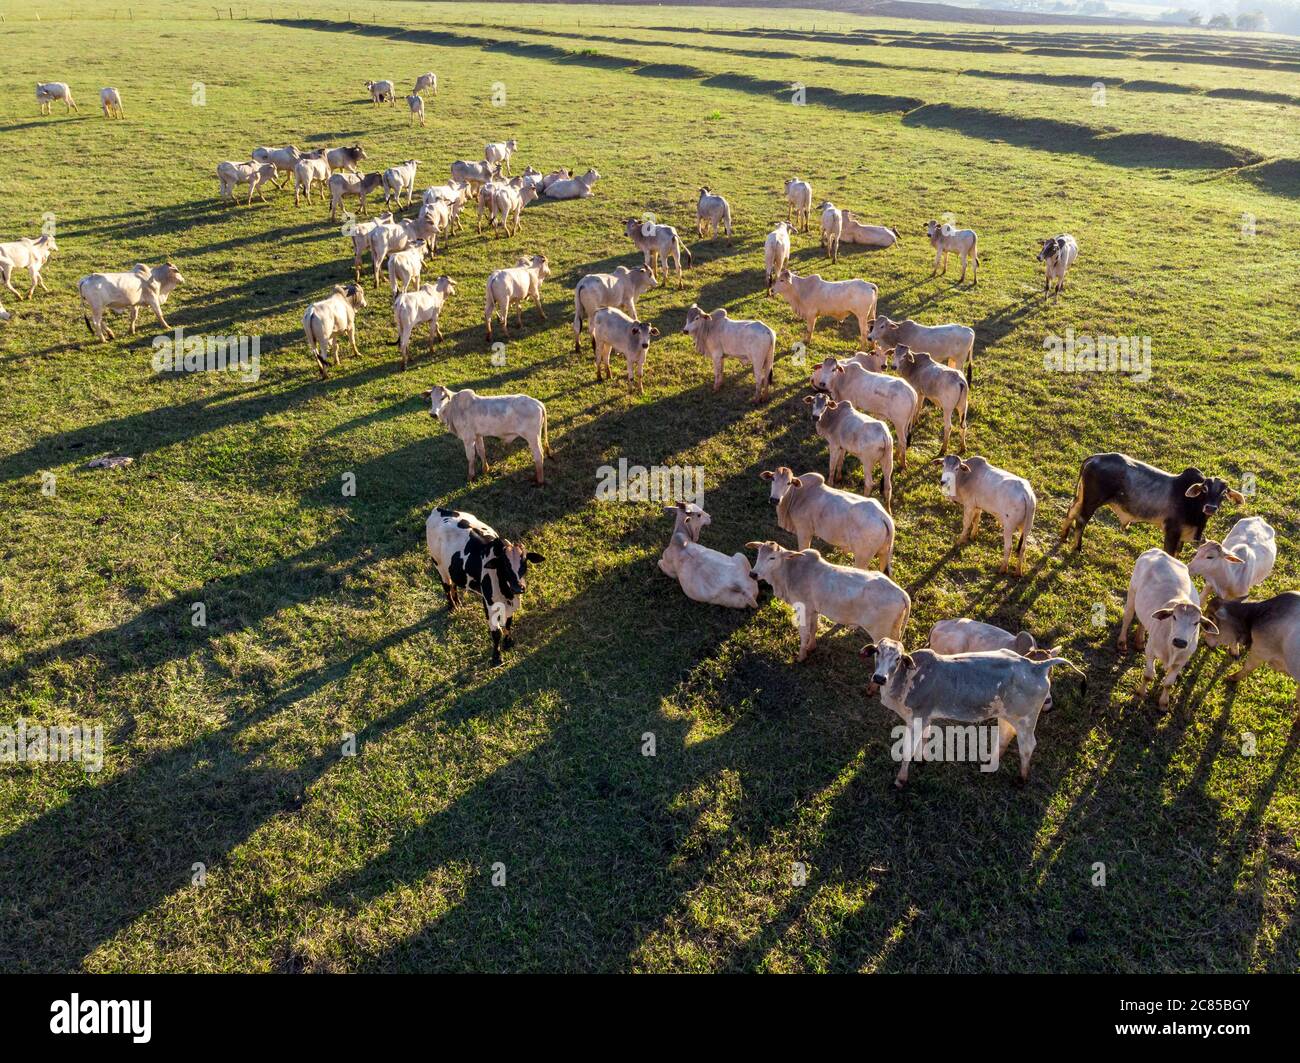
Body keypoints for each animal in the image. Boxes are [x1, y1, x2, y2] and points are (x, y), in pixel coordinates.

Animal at [425, 507, 543, 665]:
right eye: (505, 565)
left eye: (524, 562)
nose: (519, 587)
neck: (507, 593)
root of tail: (439, 509)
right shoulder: (489, 605)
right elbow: (497, 632)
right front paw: (496, 657)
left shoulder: (511, 604)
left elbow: (508, 623)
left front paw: (508, 642)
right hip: (438, 565)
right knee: (446, 586)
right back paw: (452, 607)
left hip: (452, 568)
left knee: (453, 584)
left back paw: (458, 603)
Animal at [748, 541, 910, 662]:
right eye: (759, 554)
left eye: (772, 557)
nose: (753, 574)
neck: (788, 572)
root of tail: (902, 593)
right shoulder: (814, 610)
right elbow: (814, 629)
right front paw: (811, 647)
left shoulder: (804, 609)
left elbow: (804, 633)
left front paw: (801, 656)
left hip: (880, 633)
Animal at [761, 466, 894, 574]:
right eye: (773, 479)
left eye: (788, 483)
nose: (774, 499)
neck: (798, 495)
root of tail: (884, 517)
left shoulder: (804, 532)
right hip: (884, 554)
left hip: (862, 557)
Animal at [1059, 453, 1244, 556]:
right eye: (1204, 488)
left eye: (1224, 493)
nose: (1210, 508)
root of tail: (1095, 457)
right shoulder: (1172, 532)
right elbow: (1170, 554)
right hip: (1092, 501)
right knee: (1081, 520)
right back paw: (1077, 548)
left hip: (1082, 497)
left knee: (1071, 511)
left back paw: (1063, 537)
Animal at [1118, 548, 1217, 709]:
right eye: (1174, 617)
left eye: (1196, 623)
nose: (1180, 641)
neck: (1172, 650)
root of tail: (1158, 551)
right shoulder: (1151, 652)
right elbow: (1148, 675)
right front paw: (1140, 694)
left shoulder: (1180, 662)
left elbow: (1169, 684)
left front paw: (1164, 703)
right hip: (1132, 592)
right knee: (1128, 617)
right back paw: (1122, 642)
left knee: (1143, 621)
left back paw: (1139, 641)